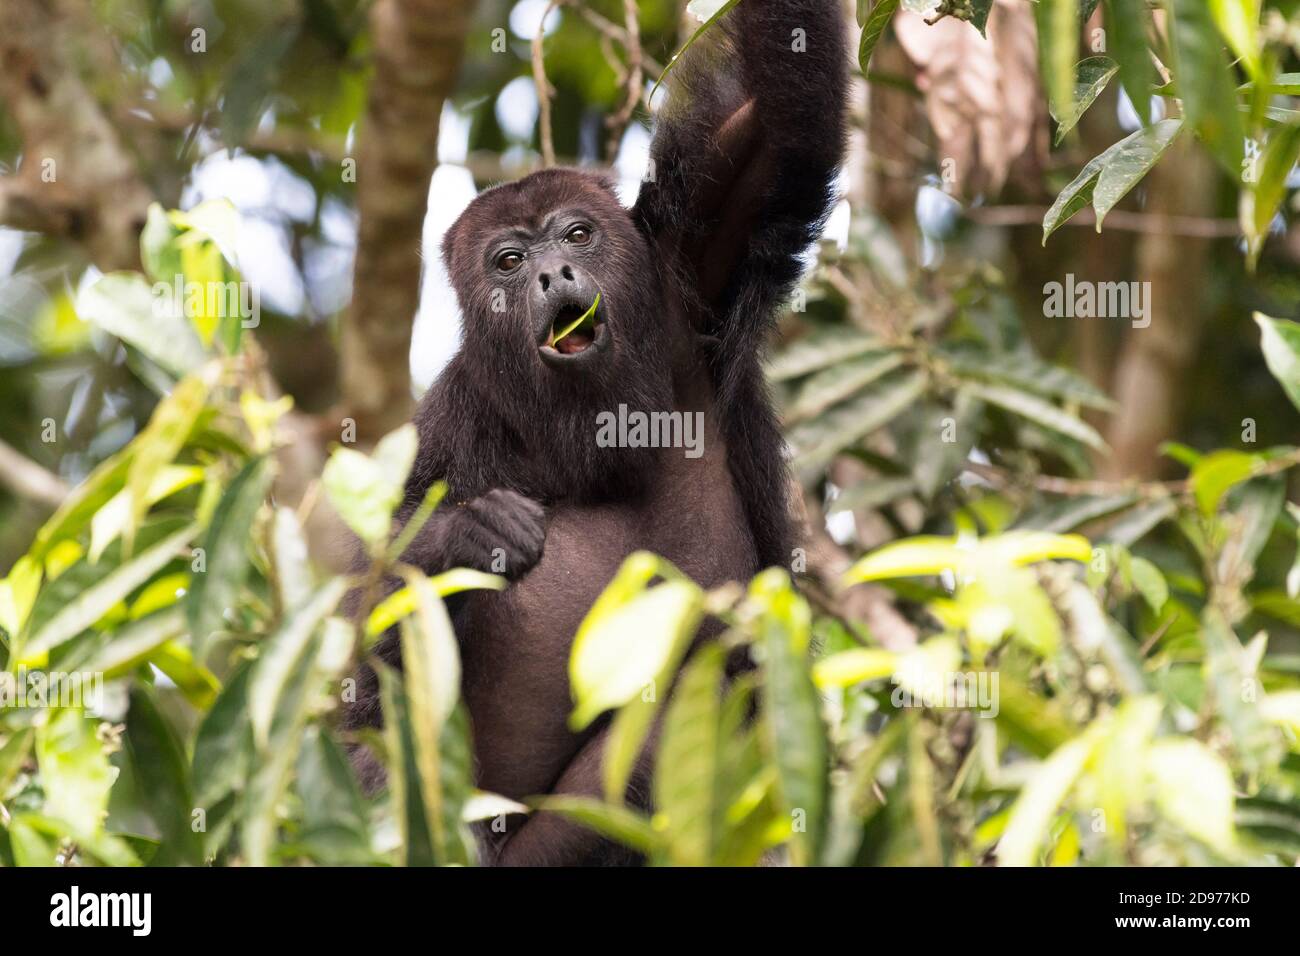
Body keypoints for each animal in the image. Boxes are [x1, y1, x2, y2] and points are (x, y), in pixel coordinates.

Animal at [343, 0, 848, 865]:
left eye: (578, 235)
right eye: (510, 260)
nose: (553, 273)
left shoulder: (689, 280)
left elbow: (787, 133)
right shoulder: (447, 427)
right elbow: (350, 655)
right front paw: (470, 534)